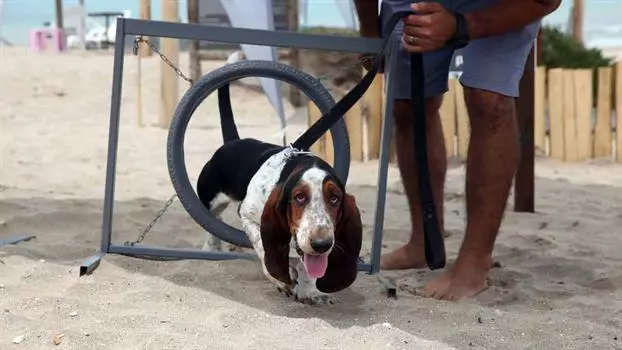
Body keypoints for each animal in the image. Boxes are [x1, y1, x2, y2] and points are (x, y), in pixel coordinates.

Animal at [197, 138, 364, 304]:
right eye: (300, 196)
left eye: (335, 198)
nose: (321, 244)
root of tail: (233, 141)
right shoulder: (247, 215)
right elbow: (262, 246)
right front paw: (280, 279)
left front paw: (310, 290)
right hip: (211, 201)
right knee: (213, 219)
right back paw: (211, 248)